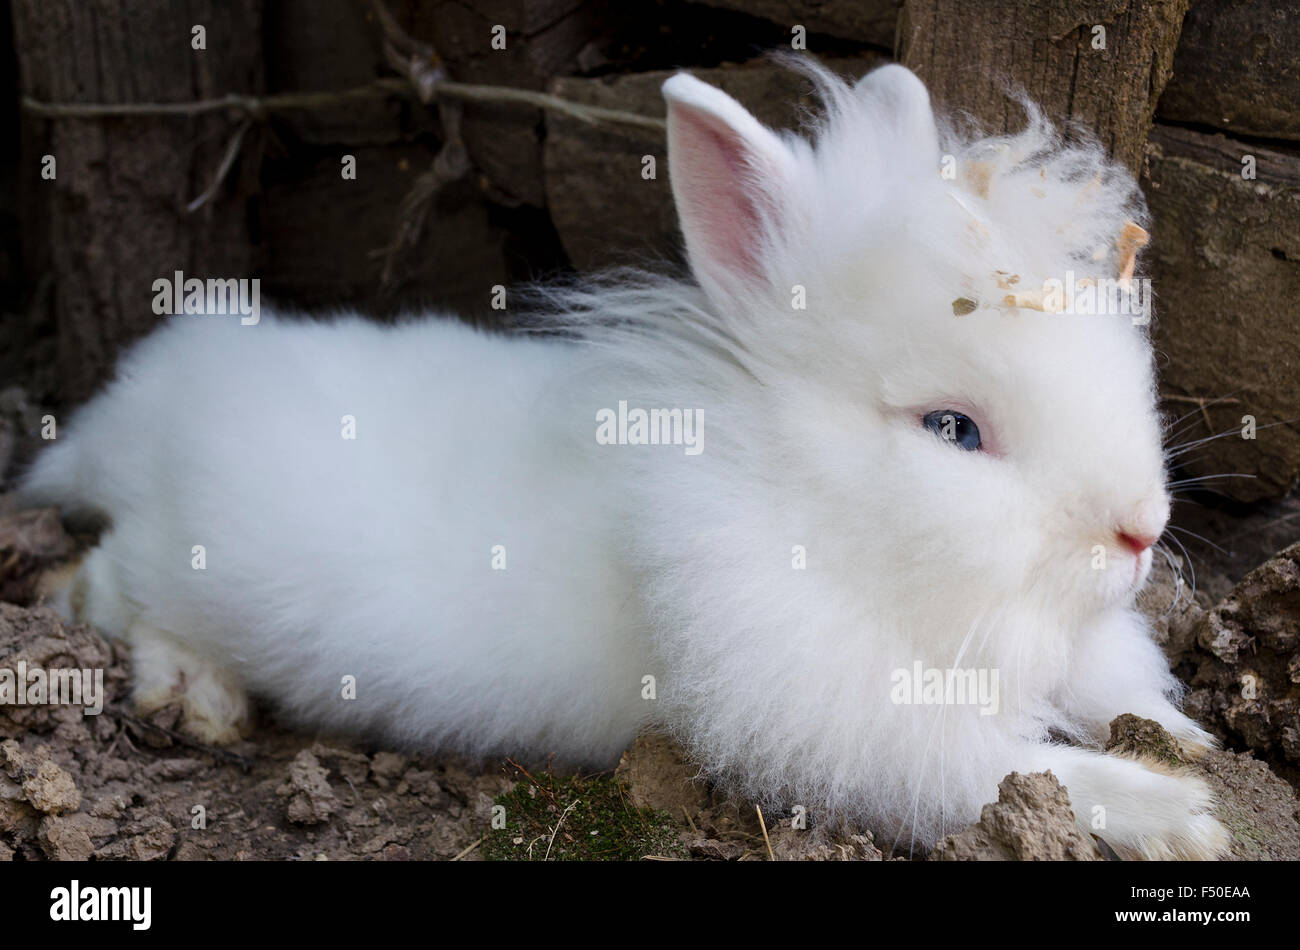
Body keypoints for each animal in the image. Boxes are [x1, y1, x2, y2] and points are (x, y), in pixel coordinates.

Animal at [18, 61, 1228, 860]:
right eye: (952, 430)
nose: (1140, 529)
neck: (789, 499)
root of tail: (146, 397)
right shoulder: (853, 720)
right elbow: (1016, 772)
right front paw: (1183, 818)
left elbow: (1109, 687)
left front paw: (1186, 740)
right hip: (179, 562)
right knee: (100, 584)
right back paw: (197, 695)